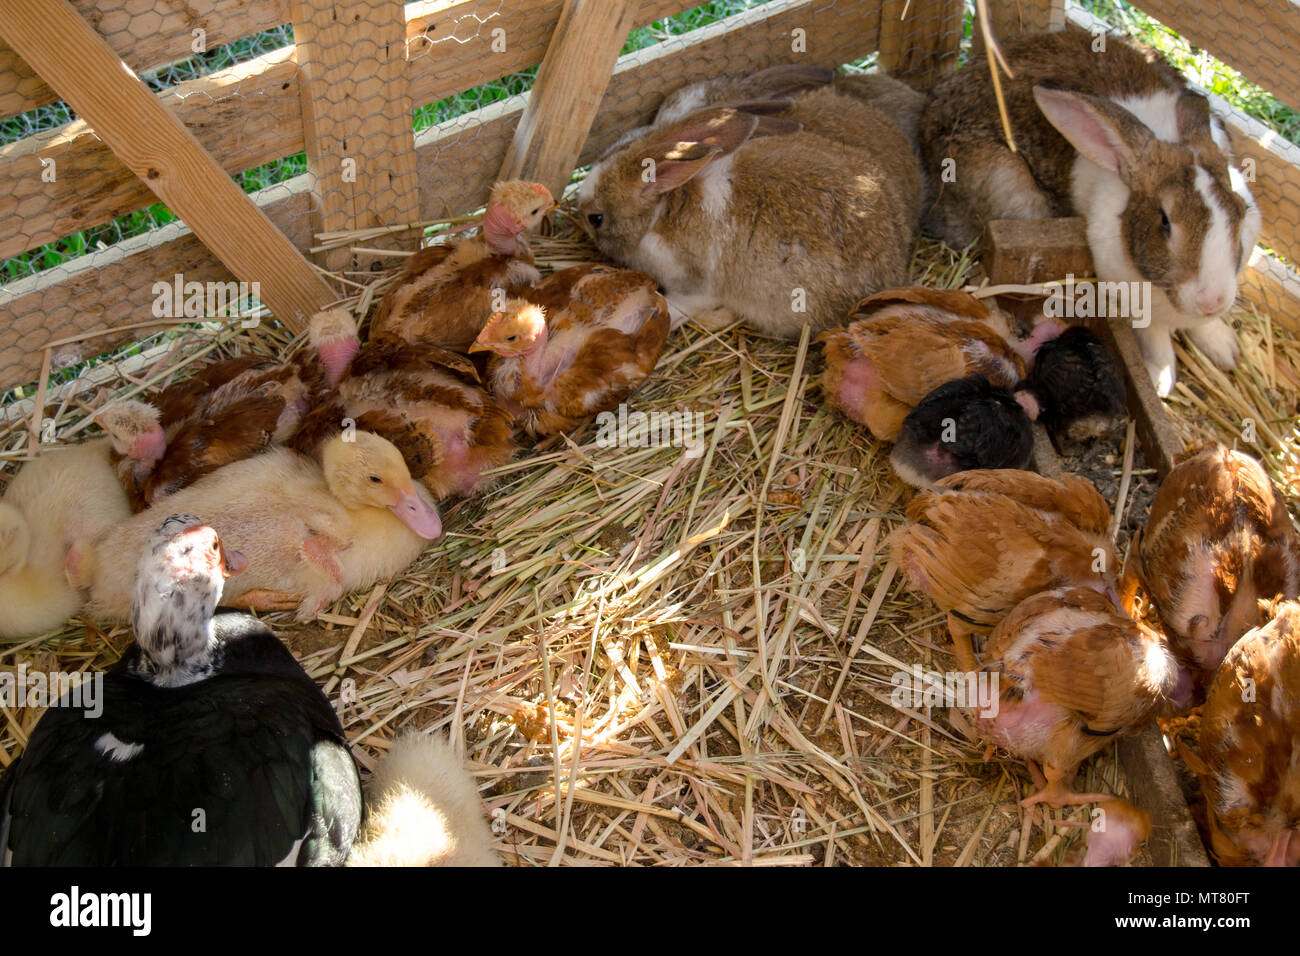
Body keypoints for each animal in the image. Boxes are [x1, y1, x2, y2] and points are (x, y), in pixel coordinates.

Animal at [577, 92, 919, 339]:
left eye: (596, 218)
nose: (581, 220)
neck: (658, 213)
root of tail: (893, 263)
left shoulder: (695, 285)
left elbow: (677, 305)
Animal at [920, 29, 1260, 397]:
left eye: (1240, 209)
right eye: (1164, 220)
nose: (1213, 300)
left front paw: (1226, 349)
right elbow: (1155, 336)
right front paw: (1159, 381)